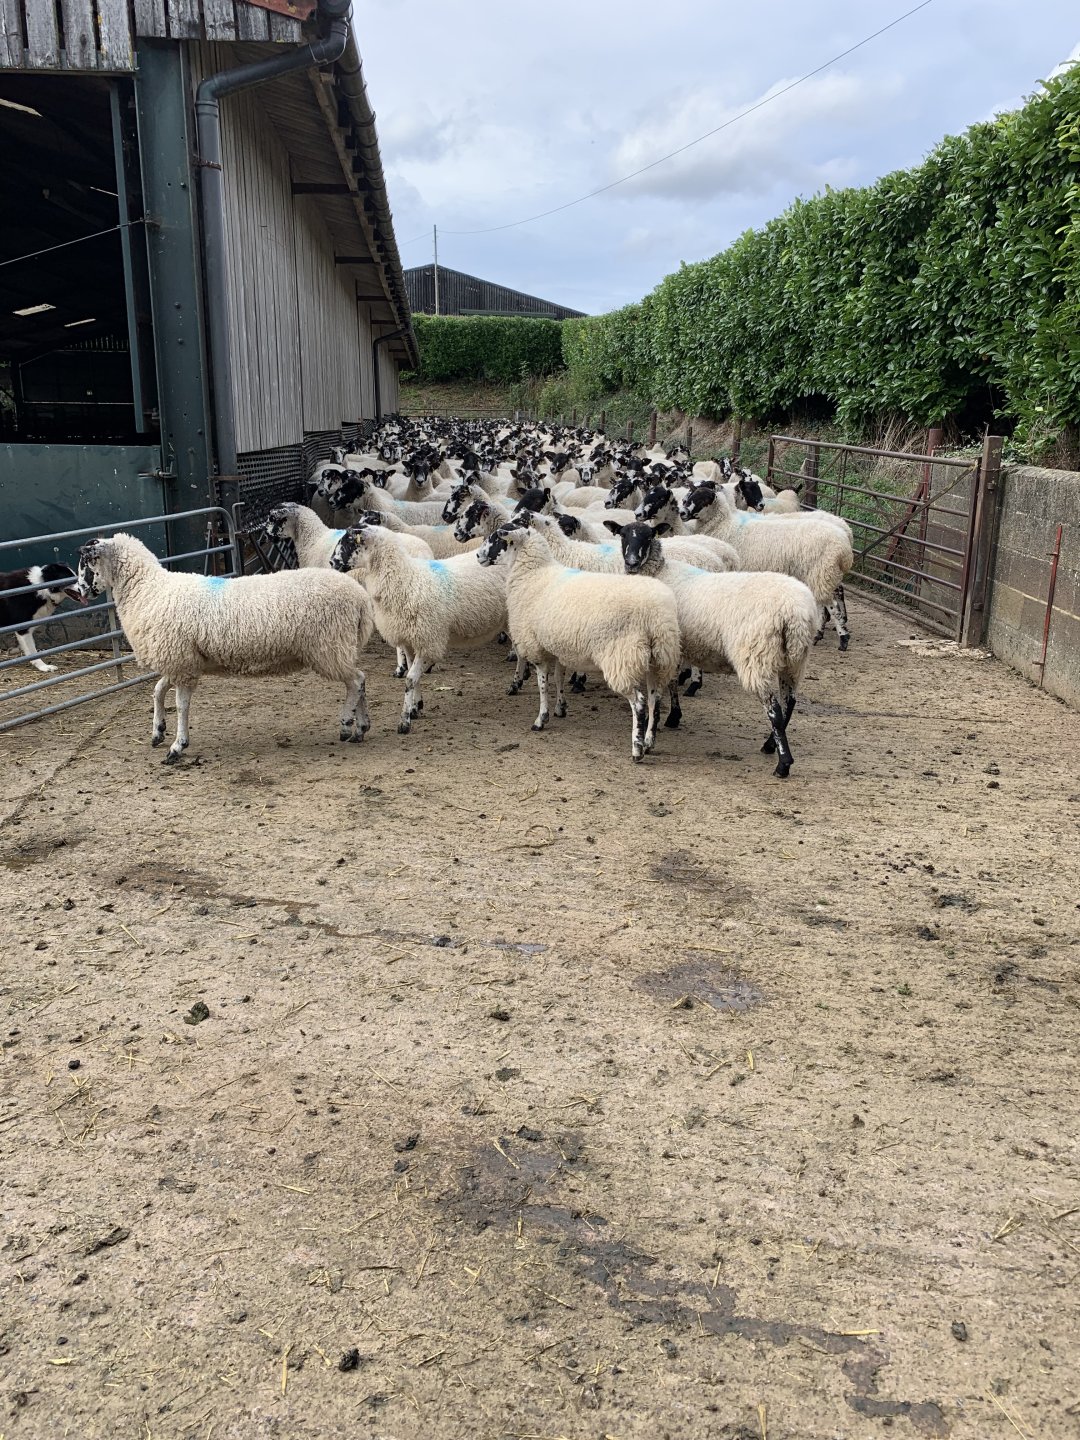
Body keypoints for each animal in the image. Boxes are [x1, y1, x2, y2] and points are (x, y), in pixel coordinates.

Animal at [76, 533, 375, 761]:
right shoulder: (181, 661)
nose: (79, 591)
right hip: (338, 647)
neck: (148, 589)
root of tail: (361, 599)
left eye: (86, 562)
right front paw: (158, 731)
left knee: (356, 681)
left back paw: (347, 724)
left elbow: (180, 705)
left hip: (329, 647)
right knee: (360, 681)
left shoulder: (180, 662)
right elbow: (158, 691)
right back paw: (361, 728)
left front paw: (178, 745)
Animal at [330, 522, 507, 734]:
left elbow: (410, 679)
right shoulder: (408, 638)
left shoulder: (427, 639)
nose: (332, 562)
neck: (405, 580)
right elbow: (415, 677)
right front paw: (416, 707)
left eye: (349, 541)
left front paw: (405, 721)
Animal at [475, 519, 682, 762]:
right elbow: (558, 678)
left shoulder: (536, 646)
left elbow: (542, 684)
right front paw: (560, 708)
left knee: (639, 703)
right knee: (654, 699)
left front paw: (541, 719)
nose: (478, 556)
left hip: (622, 657)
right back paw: (649, 742)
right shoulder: (558, 646)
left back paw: (637, 749)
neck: (534, 574)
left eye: (498, 538)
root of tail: (657, 615)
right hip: (659, 659)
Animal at [613, 521, 819, 778]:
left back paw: (783, 764)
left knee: (775, 709)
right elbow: (672, 684)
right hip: (795, 659)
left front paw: (656, 733)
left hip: (756, 656)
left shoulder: (668, 648)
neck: (660, 572)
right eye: (623, 535)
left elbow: (661, 691)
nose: (632, 562)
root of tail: (797, 612)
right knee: (790, 703)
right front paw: (674, 717)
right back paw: (770, 745)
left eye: (649, 536)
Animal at [677, 483, 853, 648]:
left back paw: (841, 637)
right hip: (825, 574)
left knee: (832, 606)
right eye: (690, 494)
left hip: (821, 573)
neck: (725, 524)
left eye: (704, 499)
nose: (682, 513)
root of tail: (844, 542)